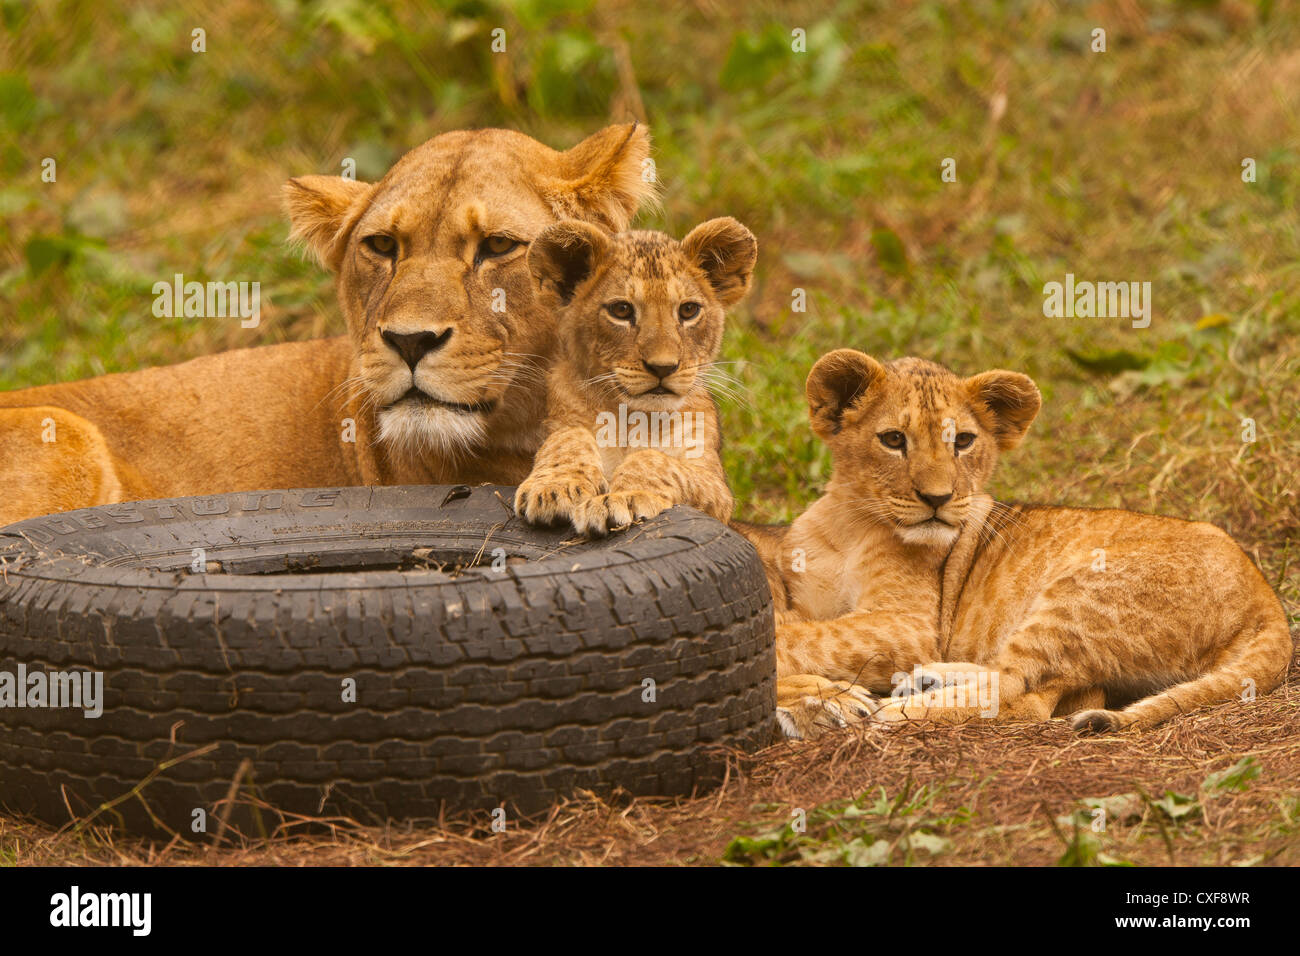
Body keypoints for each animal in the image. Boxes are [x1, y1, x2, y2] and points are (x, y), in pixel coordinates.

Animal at [513, 217, 756, 536]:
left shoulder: (716, 489)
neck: (633, 417)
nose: (663, 367)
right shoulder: (562, 420)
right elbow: (568, 436)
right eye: (621, 310)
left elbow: (653, 459)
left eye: (689, 310)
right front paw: (555, 487)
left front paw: (622, 497)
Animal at [760, 350, 1292, 738]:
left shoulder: (909, 624)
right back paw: (926, 678)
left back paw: (894, 711)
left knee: (1022, 693)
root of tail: (1266, 598)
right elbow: (812, 627)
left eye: (963, 442)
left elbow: (816, 636)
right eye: (893, 439)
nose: (938, 499)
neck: (849, 525)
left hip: (1078, 597)